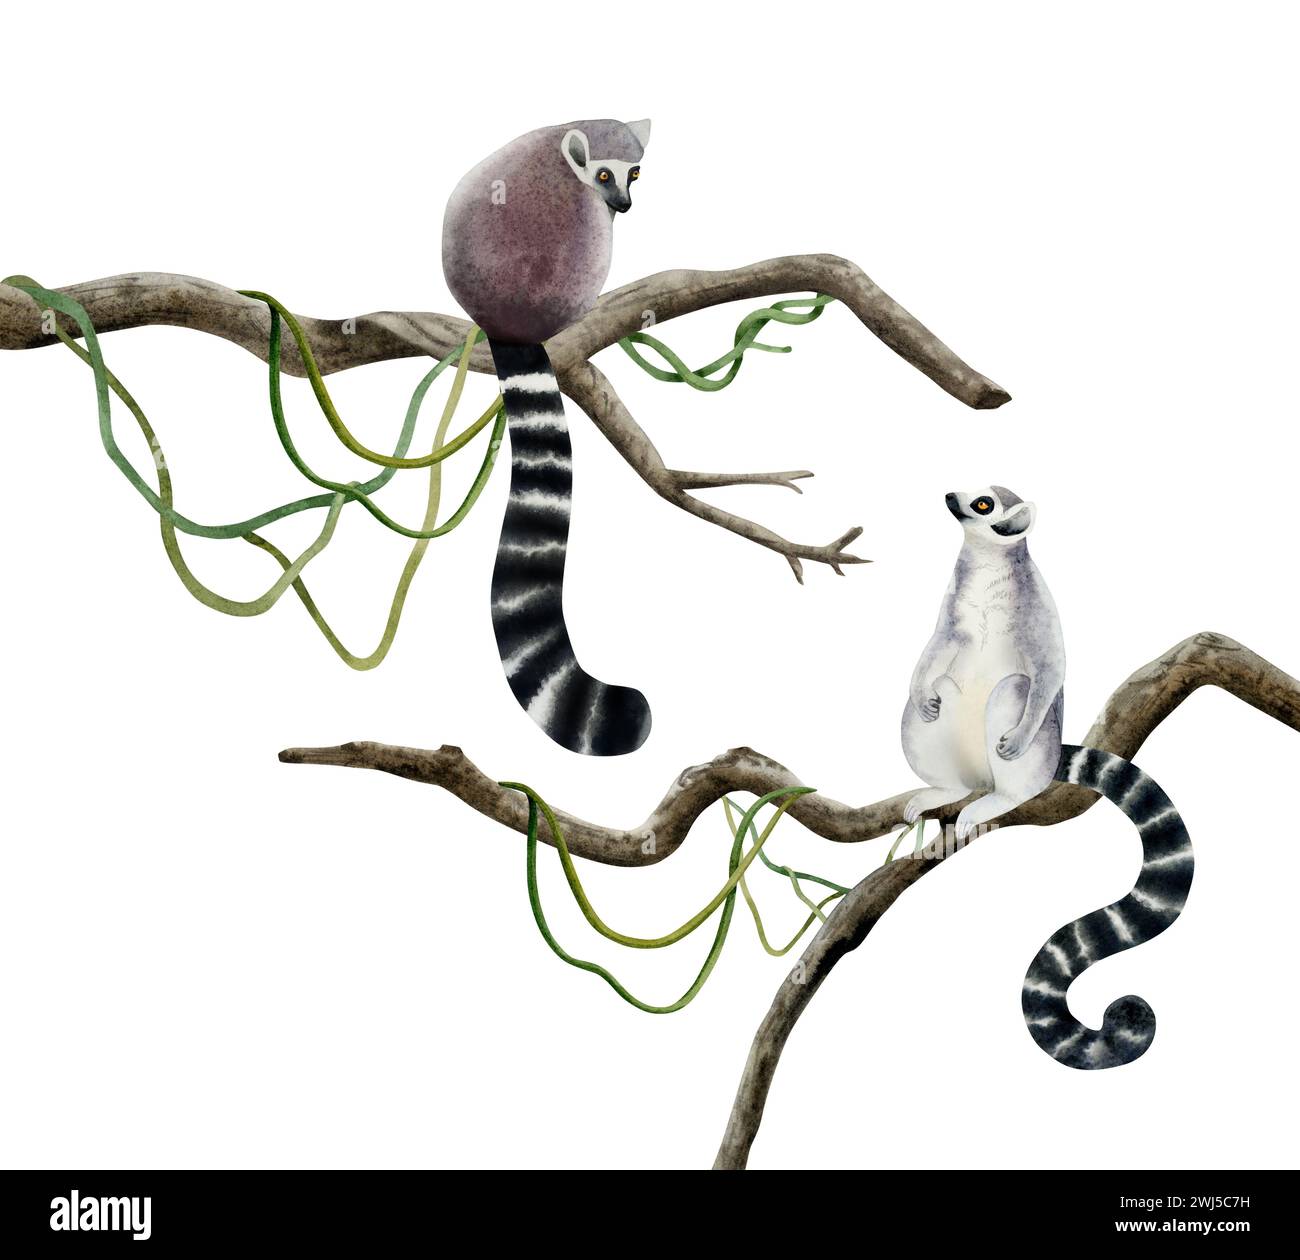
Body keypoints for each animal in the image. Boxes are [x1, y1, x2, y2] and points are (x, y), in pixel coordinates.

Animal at [900, 486, 1195, 1069]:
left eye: (984, 503)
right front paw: (922, 687)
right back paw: (947, 787)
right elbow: (933, 654)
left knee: (1013, 692)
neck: (989, 572)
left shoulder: (1041, 610)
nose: (949, 495)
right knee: (938, 691)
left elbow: (1050, 667)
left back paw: (999, 797)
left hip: (1034, 753)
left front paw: (1023, 722)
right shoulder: (949, 617)